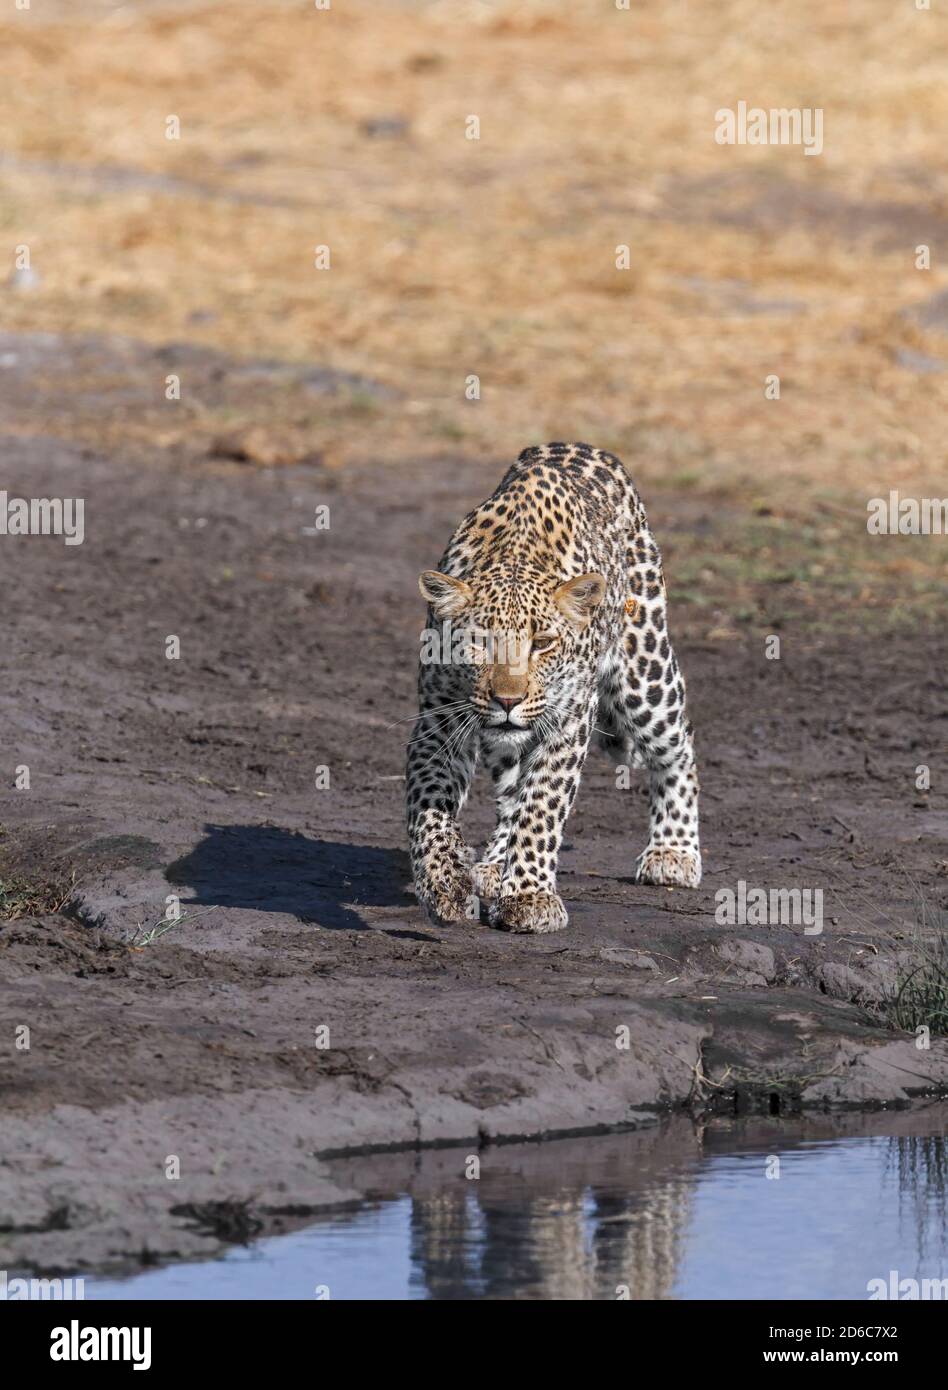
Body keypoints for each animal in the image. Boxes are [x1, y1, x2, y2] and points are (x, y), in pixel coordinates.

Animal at [406, 442, 701, 934]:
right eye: (479, 643)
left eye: (542, 643)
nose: (508, 700)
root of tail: (580, 445)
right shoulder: (439, 719)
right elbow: (429, 804)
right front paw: (445, 881)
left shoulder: (567, 721)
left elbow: (542, 805)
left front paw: (529, 897)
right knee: (511, 788)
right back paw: (493, 864)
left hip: (644, 671)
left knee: (679, 748)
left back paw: (673, 851)